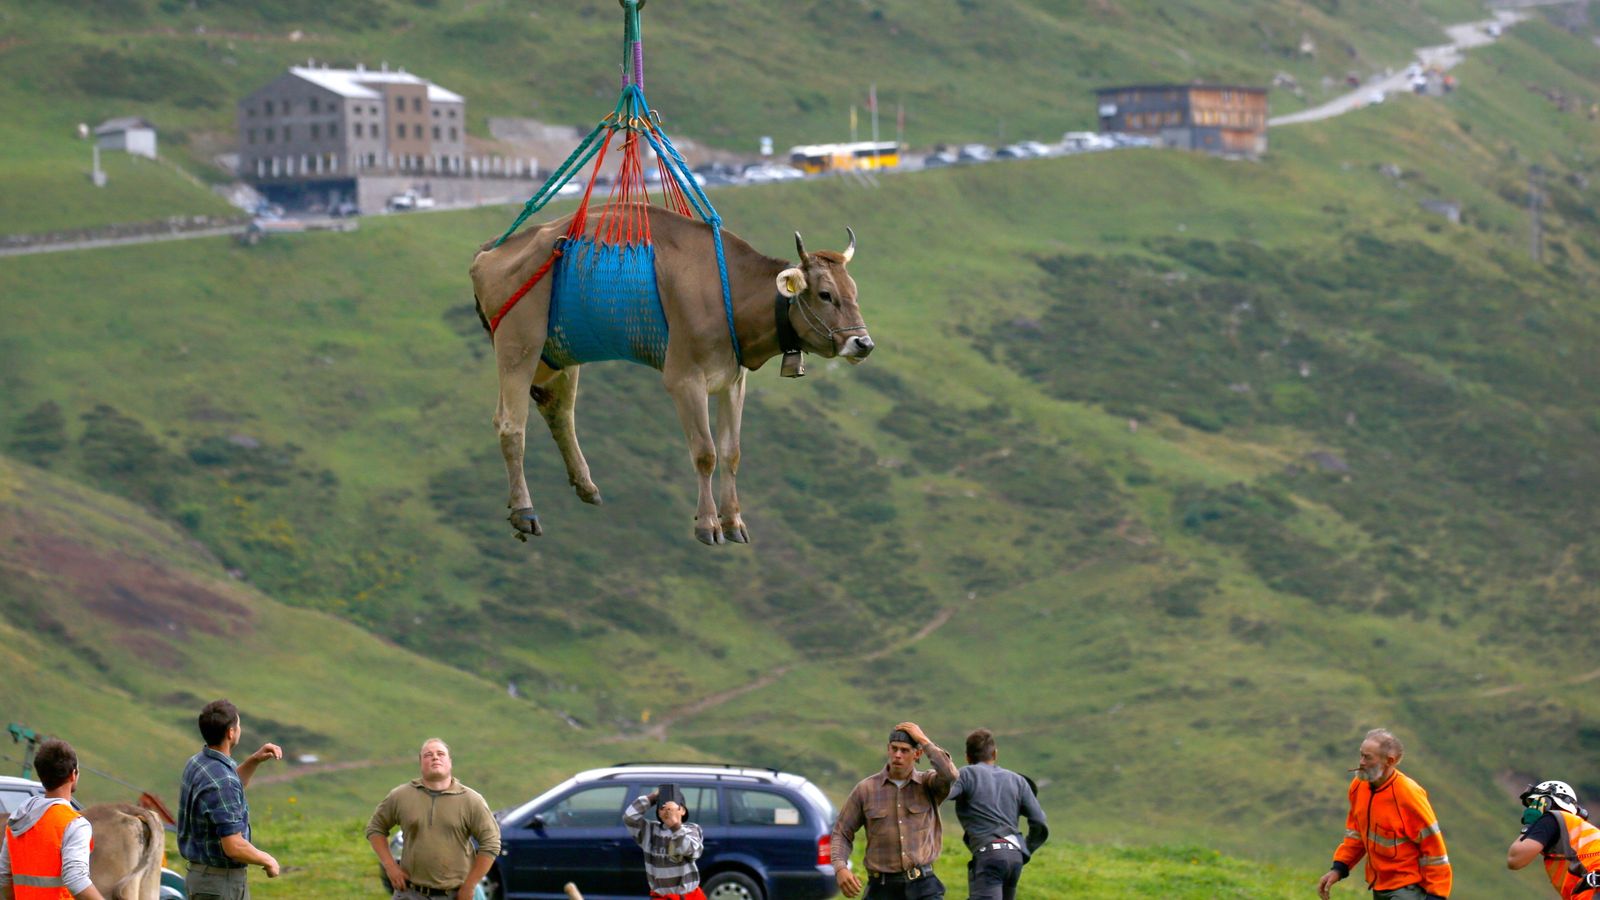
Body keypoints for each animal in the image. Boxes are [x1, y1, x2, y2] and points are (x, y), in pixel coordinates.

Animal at [471, 204, 874, 545]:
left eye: (854, 291)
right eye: (825, 294)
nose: (863, 343)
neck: (728, 294)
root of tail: (490, 252)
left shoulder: (733, 381)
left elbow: (731, 452)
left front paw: (734, 522)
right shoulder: (684, 378)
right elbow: (705, 453)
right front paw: (708, 524)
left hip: (559, 354)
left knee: (559, 412)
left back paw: (585, 485)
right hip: (518, 345)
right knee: (510, 424)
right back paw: (524, 511)